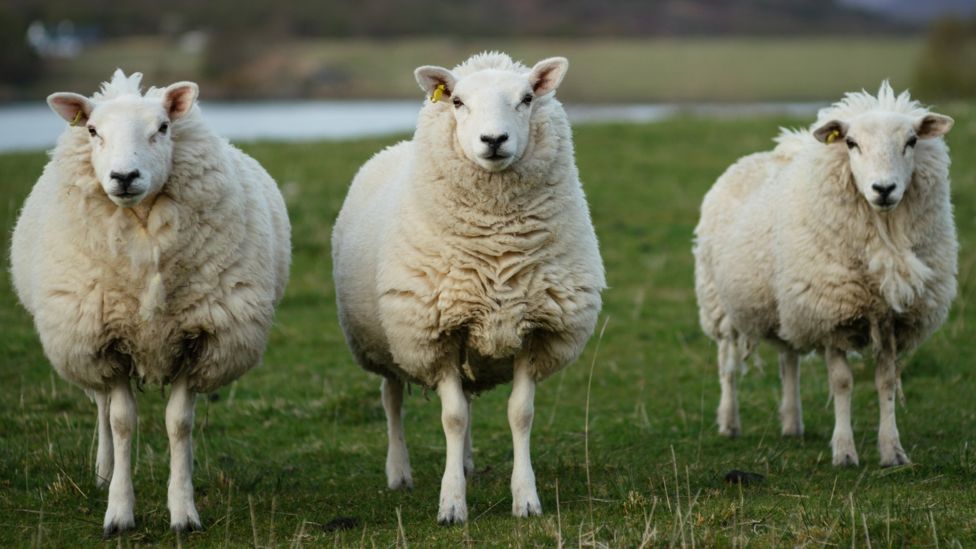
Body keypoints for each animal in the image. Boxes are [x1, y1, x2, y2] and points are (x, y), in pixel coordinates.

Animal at [10, 69, 291, 535]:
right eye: (92, 131)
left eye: (162, 127)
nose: (124, 176)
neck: (143, 235)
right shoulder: (107, 342)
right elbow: (121, 422)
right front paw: (119, 510)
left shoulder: (198, 340)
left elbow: (179, 424)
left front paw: (183, 510)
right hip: (86, 344)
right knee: (102, 408)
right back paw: (103, 472)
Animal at [331, 52, 605, 523]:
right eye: (458, 101)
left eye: (527, 97)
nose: (493, 139)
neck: (496, 244)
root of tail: (392, 148)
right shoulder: (436, 332)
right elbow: (453, 418)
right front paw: (451, 504)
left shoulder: (534, 328)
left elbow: (520, 414)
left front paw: (525, 498)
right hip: (386, 340)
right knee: (391, 399)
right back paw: (399, 472)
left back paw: (466, 463)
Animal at [693, 81, 956, 467]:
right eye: (851, 143)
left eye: (911, 141)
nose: (884, 189)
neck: (885, 238)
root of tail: (759, 157)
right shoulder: (832, 313)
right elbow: (842, 383)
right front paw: (844, 451)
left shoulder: (890, 319)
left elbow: (885, 383)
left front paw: (892, 451)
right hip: (720, 303)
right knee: (727, 365)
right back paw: (729, 422)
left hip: (787, 303)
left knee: (788, 360)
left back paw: (792, 423)